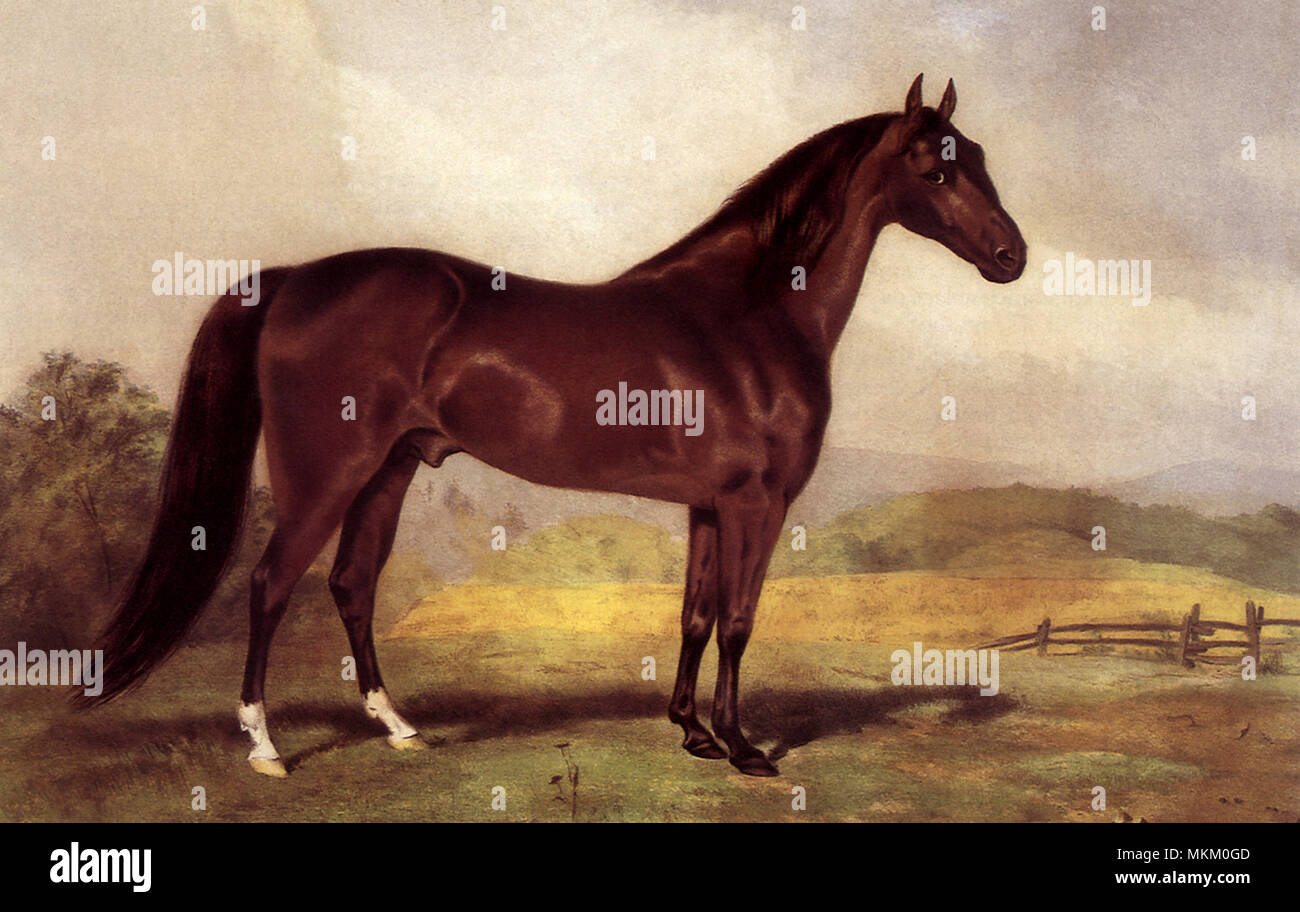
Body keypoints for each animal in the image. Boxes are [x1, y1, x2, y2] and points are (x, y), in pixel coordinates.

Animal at [79, 74, 1025, 778]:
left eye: (977, 158)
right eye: (936, 171)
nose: (1011, 257)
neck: (747, 316)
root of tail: (290, 280)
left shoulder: (707, 505)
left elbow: (695, 616)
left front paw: (692, 734)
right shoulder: (757, 503)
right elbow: (740, 619)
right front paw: (744, 749)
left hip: (388, 470)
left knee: (350, 584)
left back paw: (400, 730)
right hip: (326, 476)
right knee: (271, 584)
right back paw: (267, 748)